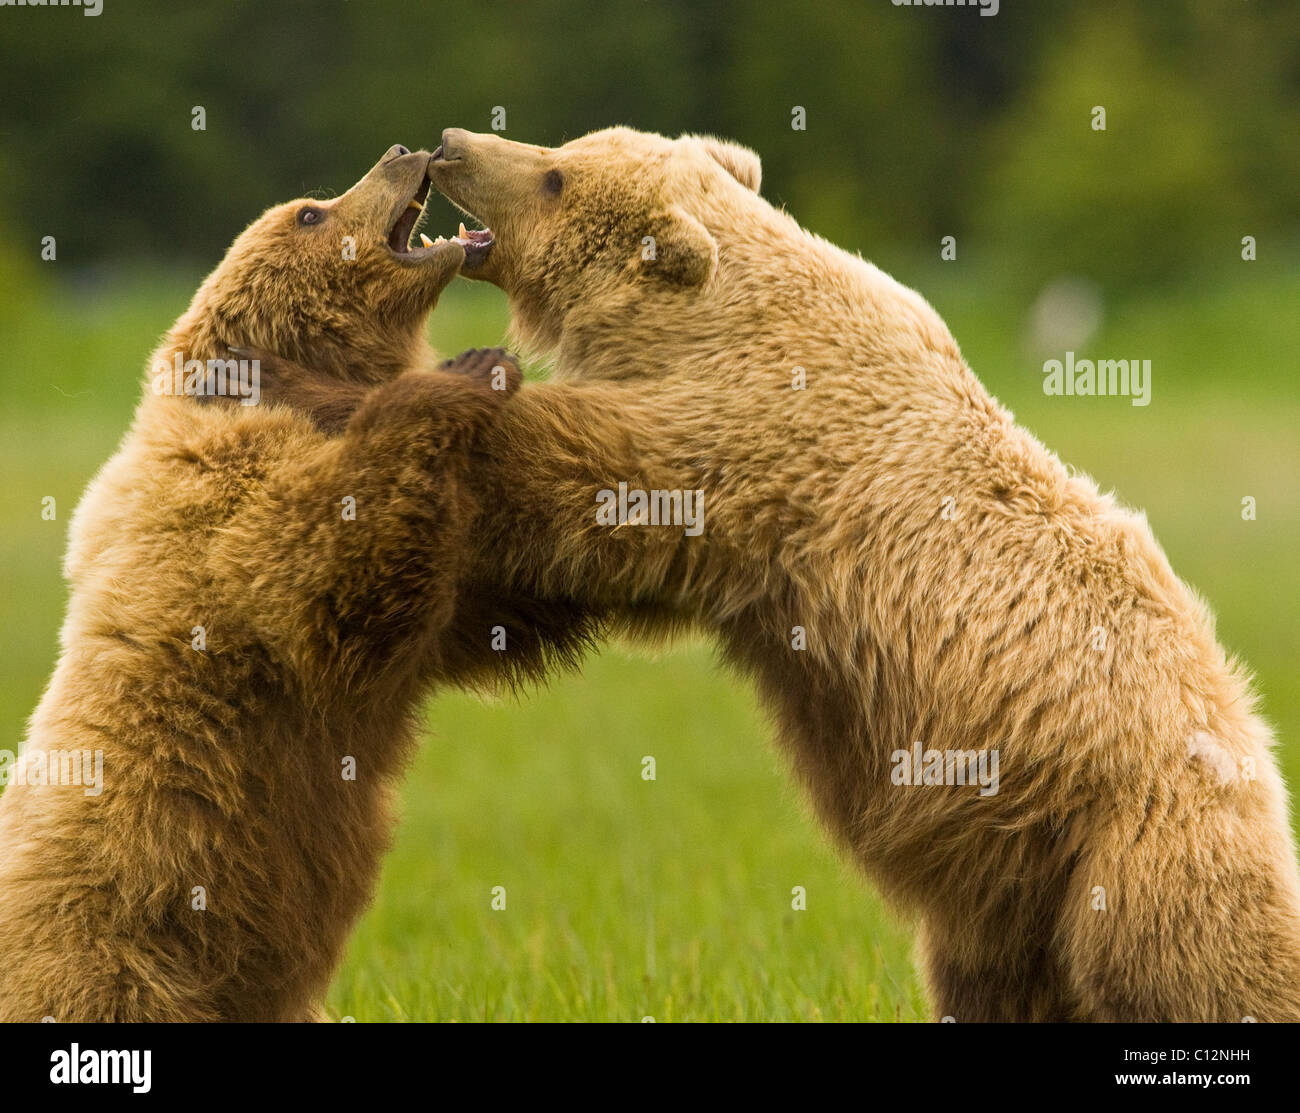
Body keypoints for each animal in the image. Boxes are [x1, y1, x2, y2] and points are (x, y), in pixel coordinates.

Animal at [0, 145, 592, 1022]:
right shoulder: (226, 503)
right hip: (116, 936)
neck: (294, 381)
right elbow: (328, 577)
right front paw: (476, 367)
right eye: (310, 212)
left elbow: (479, 606)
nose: (402, 152)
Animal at [411, 125, 1300, 1021]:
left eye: (555, 177)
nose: (453, 145)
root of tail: (1251, 738)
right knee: (995, 975)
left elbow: (580, 484)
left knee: (1195, 963)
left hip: (1136, 843)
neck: (702, 328)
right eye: (565, 146)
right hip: (1017, 872)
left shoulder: (746, 448)